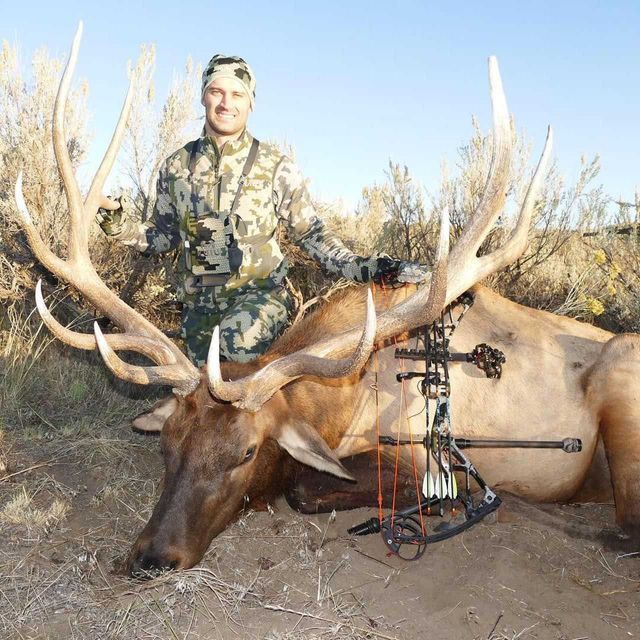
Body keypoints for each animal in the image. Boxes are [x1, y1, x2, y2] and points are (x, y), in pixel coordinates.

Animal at [14, 24, 640, 575]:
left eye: (246, 451)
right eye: (168, 444)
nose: (151, 557)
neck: (349, 395)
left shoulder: (420, 460)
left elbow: (306, 487)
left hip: (622, 374)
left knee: (623, 529)